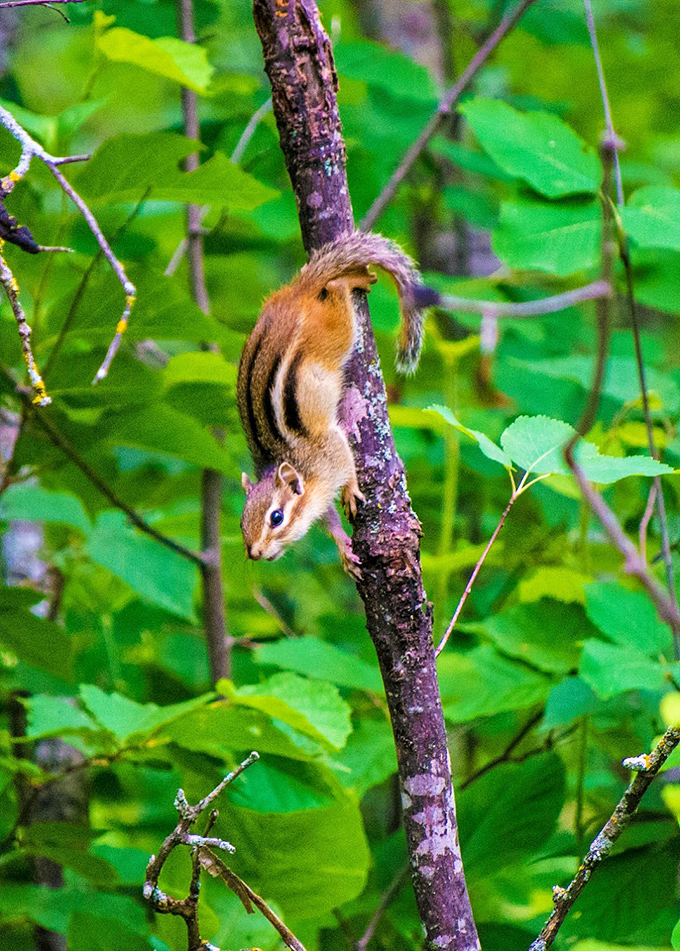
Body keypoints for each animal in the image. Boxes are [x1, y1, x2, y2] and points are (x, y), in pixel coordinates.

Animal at [237, 230, 426, 577]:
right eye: (242, 521)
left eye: (276, 517)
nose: (254, 553)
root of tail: (297, 293)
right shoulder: (318, 497)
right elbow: (329, 521)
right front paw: (343, 549)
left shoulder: (331, 449)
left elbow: (347, 461)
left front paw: (350, 490)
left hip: (339, 332)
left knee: (337, 294)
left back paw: (349, 280)